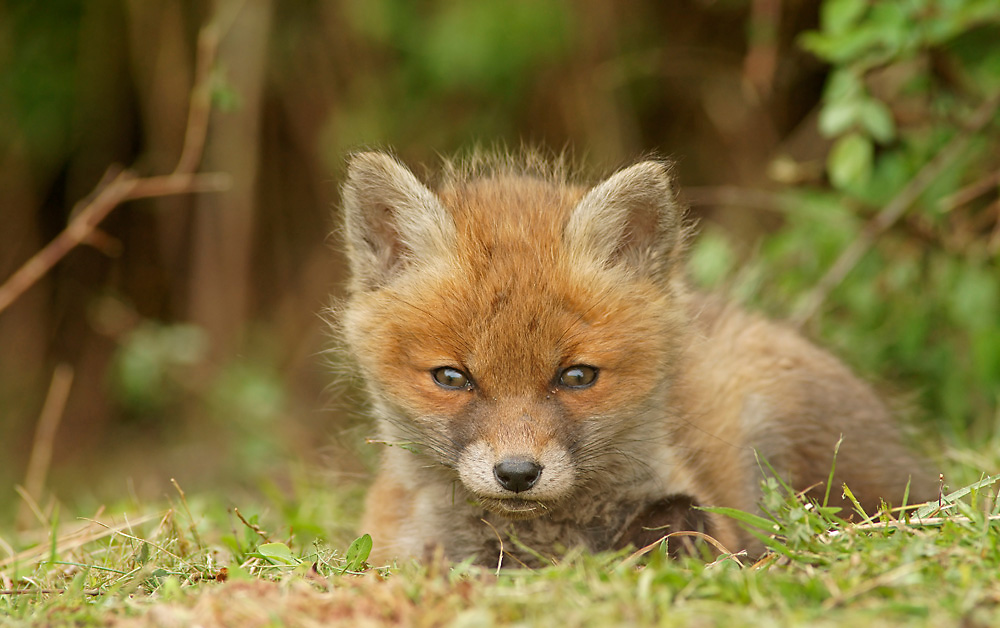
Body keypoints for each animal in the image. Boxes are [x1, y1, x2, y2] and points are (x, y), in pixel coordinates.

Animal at [337, 150, 936, 567]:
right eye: (451, 377)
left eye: (577, 376)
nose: (517, 473)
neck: (541, 542)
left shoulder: (709, 514)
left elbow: (687, 522)